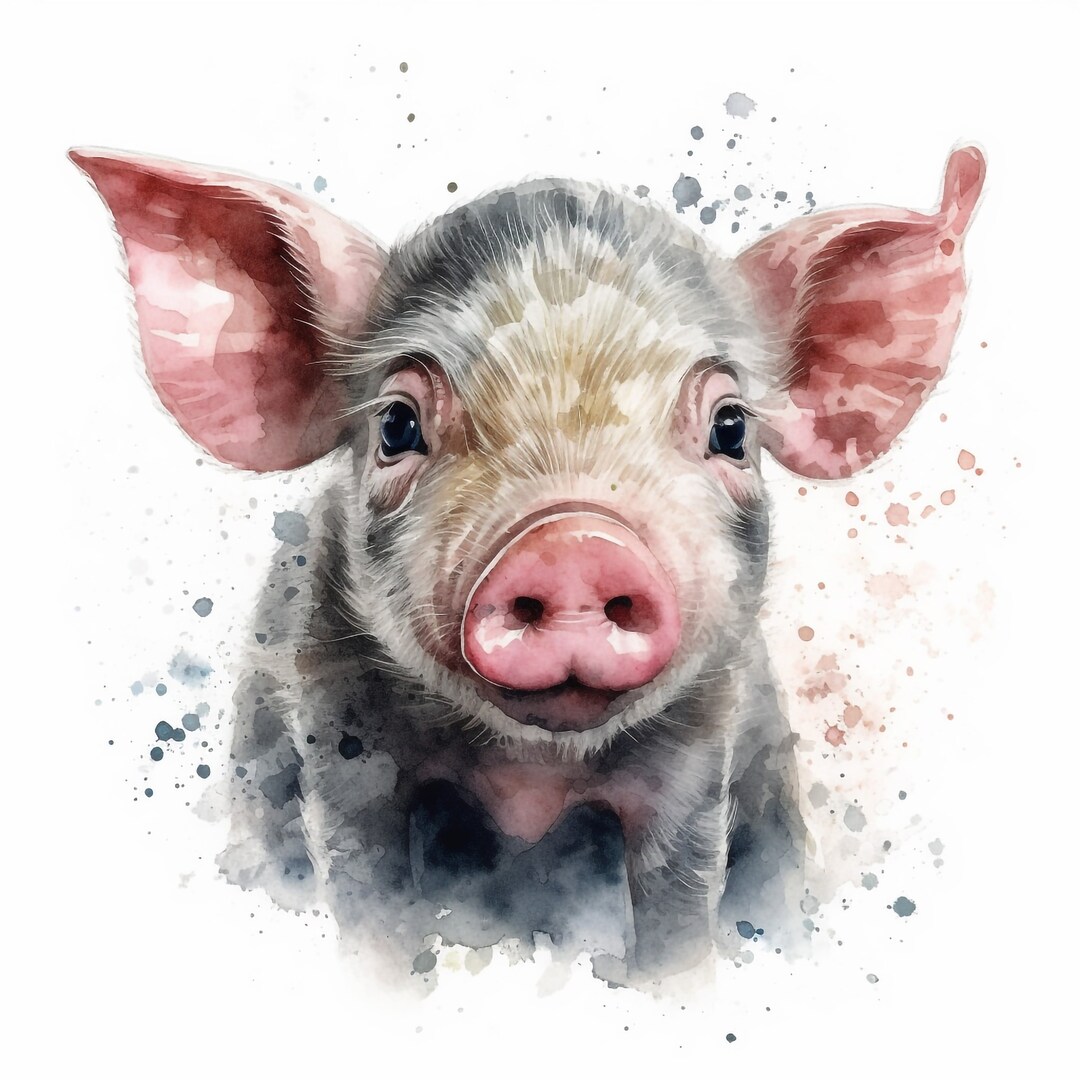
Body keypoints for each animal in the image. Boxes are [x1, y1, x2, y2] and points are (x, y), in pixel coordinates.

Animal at [71, 145, 985, 980]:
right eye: (397, 423)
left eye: (730, 427)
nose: (575, 544)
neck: (533, 777)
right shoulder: (334, 731)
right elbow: (370, 908)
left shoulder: (701, 751)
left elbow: (680, 917)